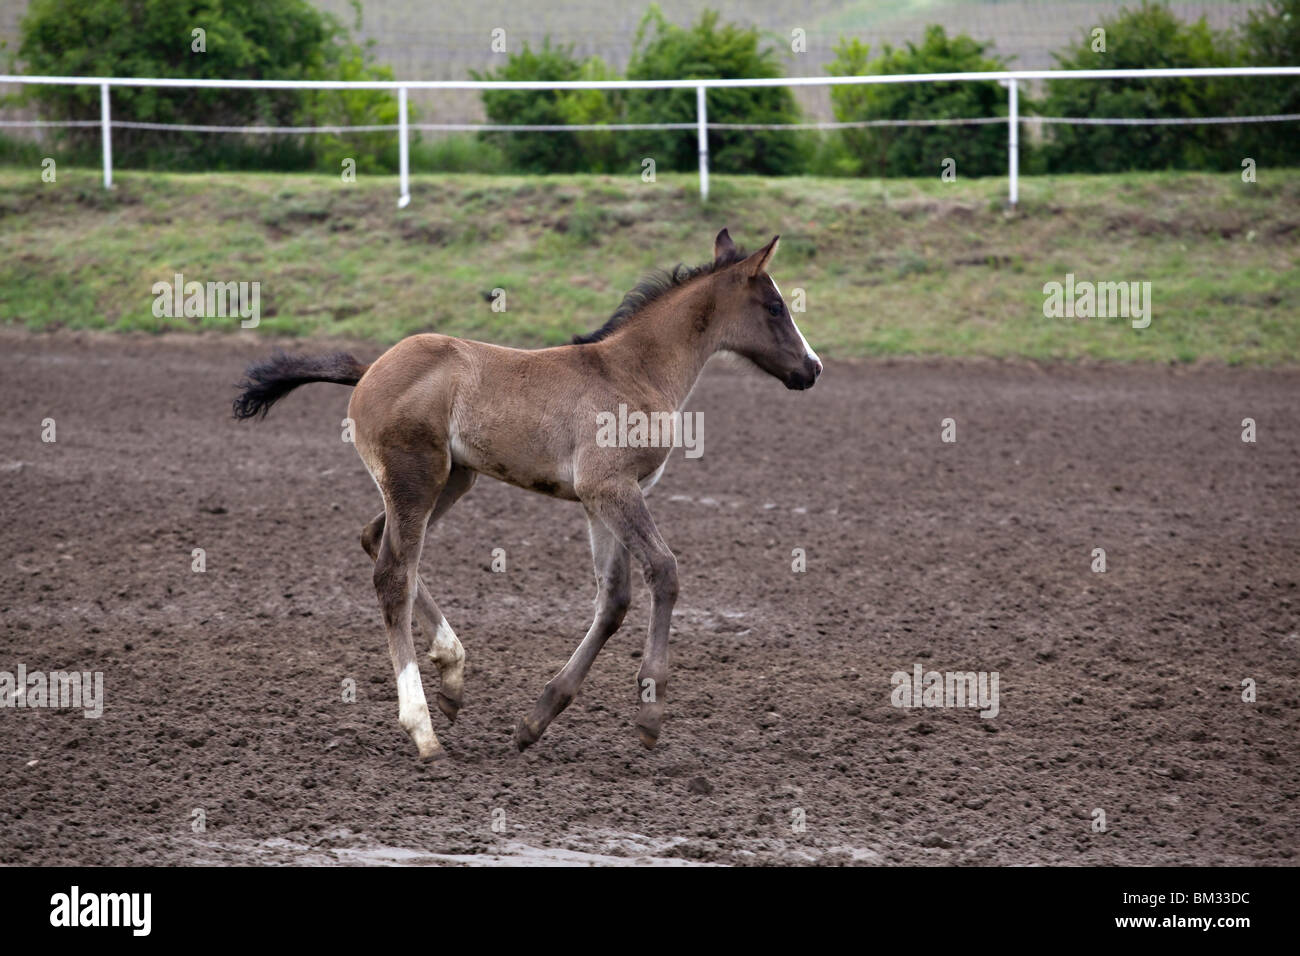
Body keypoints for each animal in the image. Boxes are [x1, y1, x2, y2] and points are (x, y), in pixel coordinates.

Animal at [232, 228, 821, 760]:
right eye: (775, 306)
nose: (812, 368)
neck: (633, 370)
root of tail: (370, 368)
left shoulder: (600, 502)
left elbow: (614, 601)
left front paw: (536, 720)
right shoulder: (610, 487)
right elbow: (665, 571)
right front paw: (650, 714)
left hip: (452, 480)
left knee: (377, 540)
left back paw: (452, 673)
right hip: (416, 477)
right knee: (393, 574)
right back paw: (424, 730)